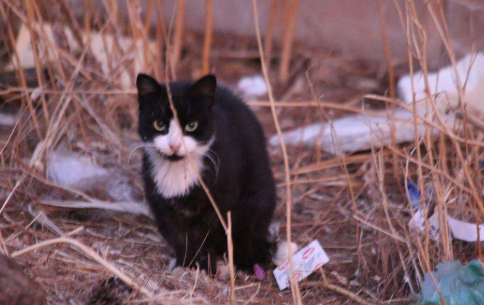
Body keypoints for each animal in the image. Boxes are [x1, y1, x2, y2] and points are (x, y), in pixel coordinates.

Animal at [138, 73, 278, 276]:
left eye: (191, 125)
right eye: (159, 124)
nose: (174, 145)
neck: (179, 171)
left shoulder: (221, 201)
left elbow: (206, 237)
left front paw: (204, 267)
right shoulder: (162, 204)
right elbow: (178, 236)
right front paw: (184, 264)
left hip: (257, 203)